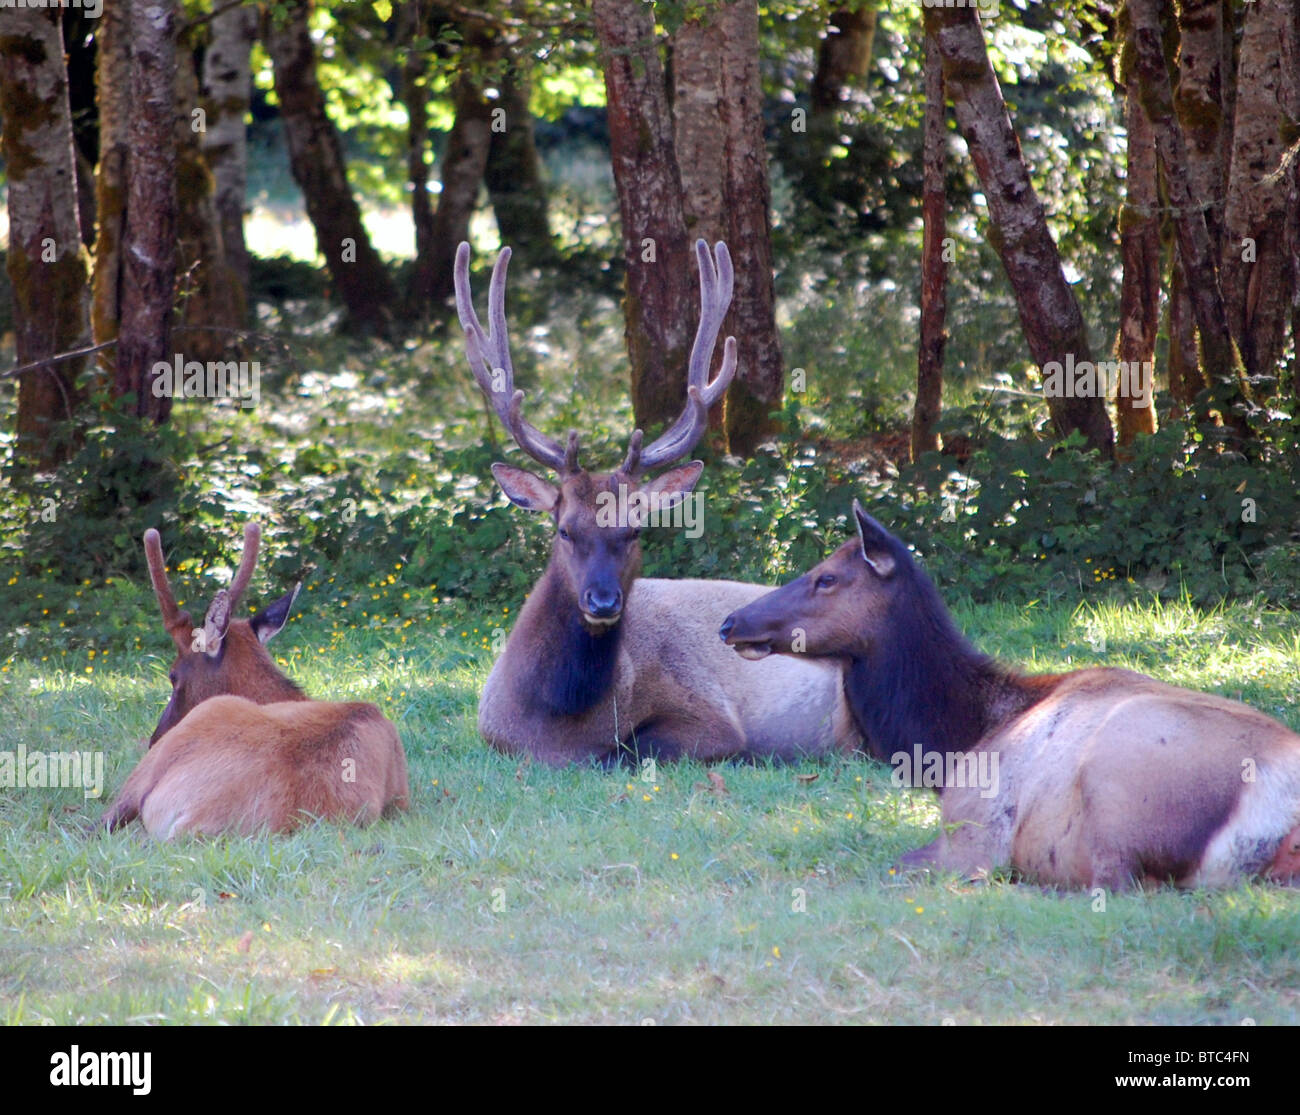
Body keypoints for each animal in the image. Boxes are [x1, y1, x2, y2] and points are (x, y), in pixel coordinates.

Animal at [454, 239, 861, 766]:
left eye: (634, 530)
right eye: (564, 529)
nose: (603, 599)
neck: (554, 718)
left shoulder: (711, 717)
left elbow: (623, 749)